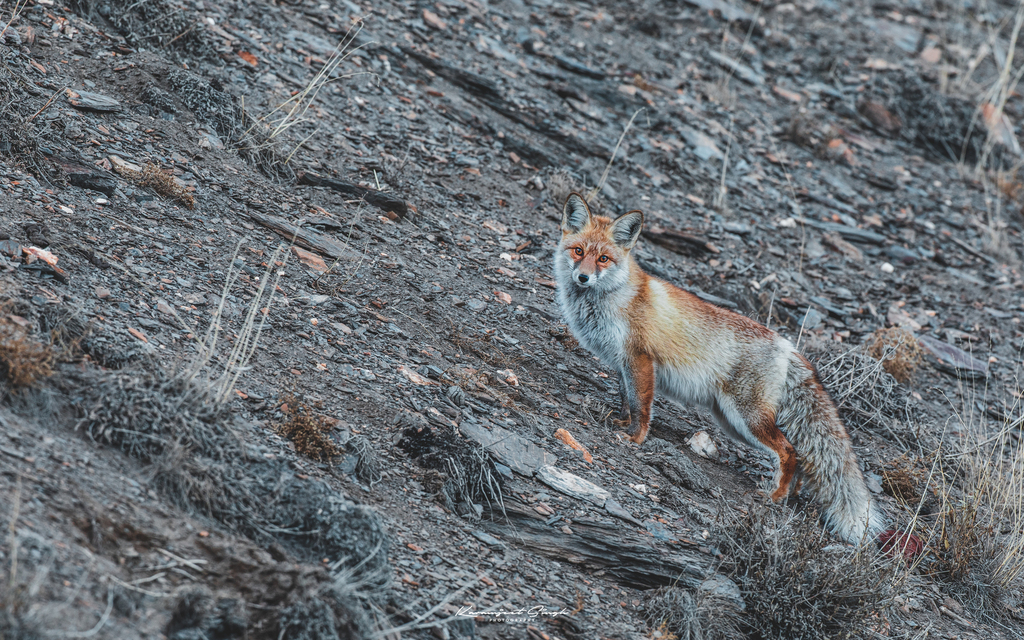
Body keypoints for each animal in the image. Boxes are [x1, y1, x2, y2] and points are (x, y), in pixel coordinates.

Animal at [554, 192, 886, 545]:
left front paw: (635, 437)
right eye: (578, 252)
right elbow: (625, 399)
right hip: (733, 422)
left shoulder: (640, 358)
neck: (612, 299)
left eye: (603, 259)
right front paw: (620, 421)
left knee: (789, 451)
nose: (583, 277)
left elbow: (641, 406)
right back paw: (788, 495)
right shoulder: (623, 364)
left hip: (748, 418)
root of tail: (788, 346)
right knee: (800, 455)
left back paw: (775, 496)